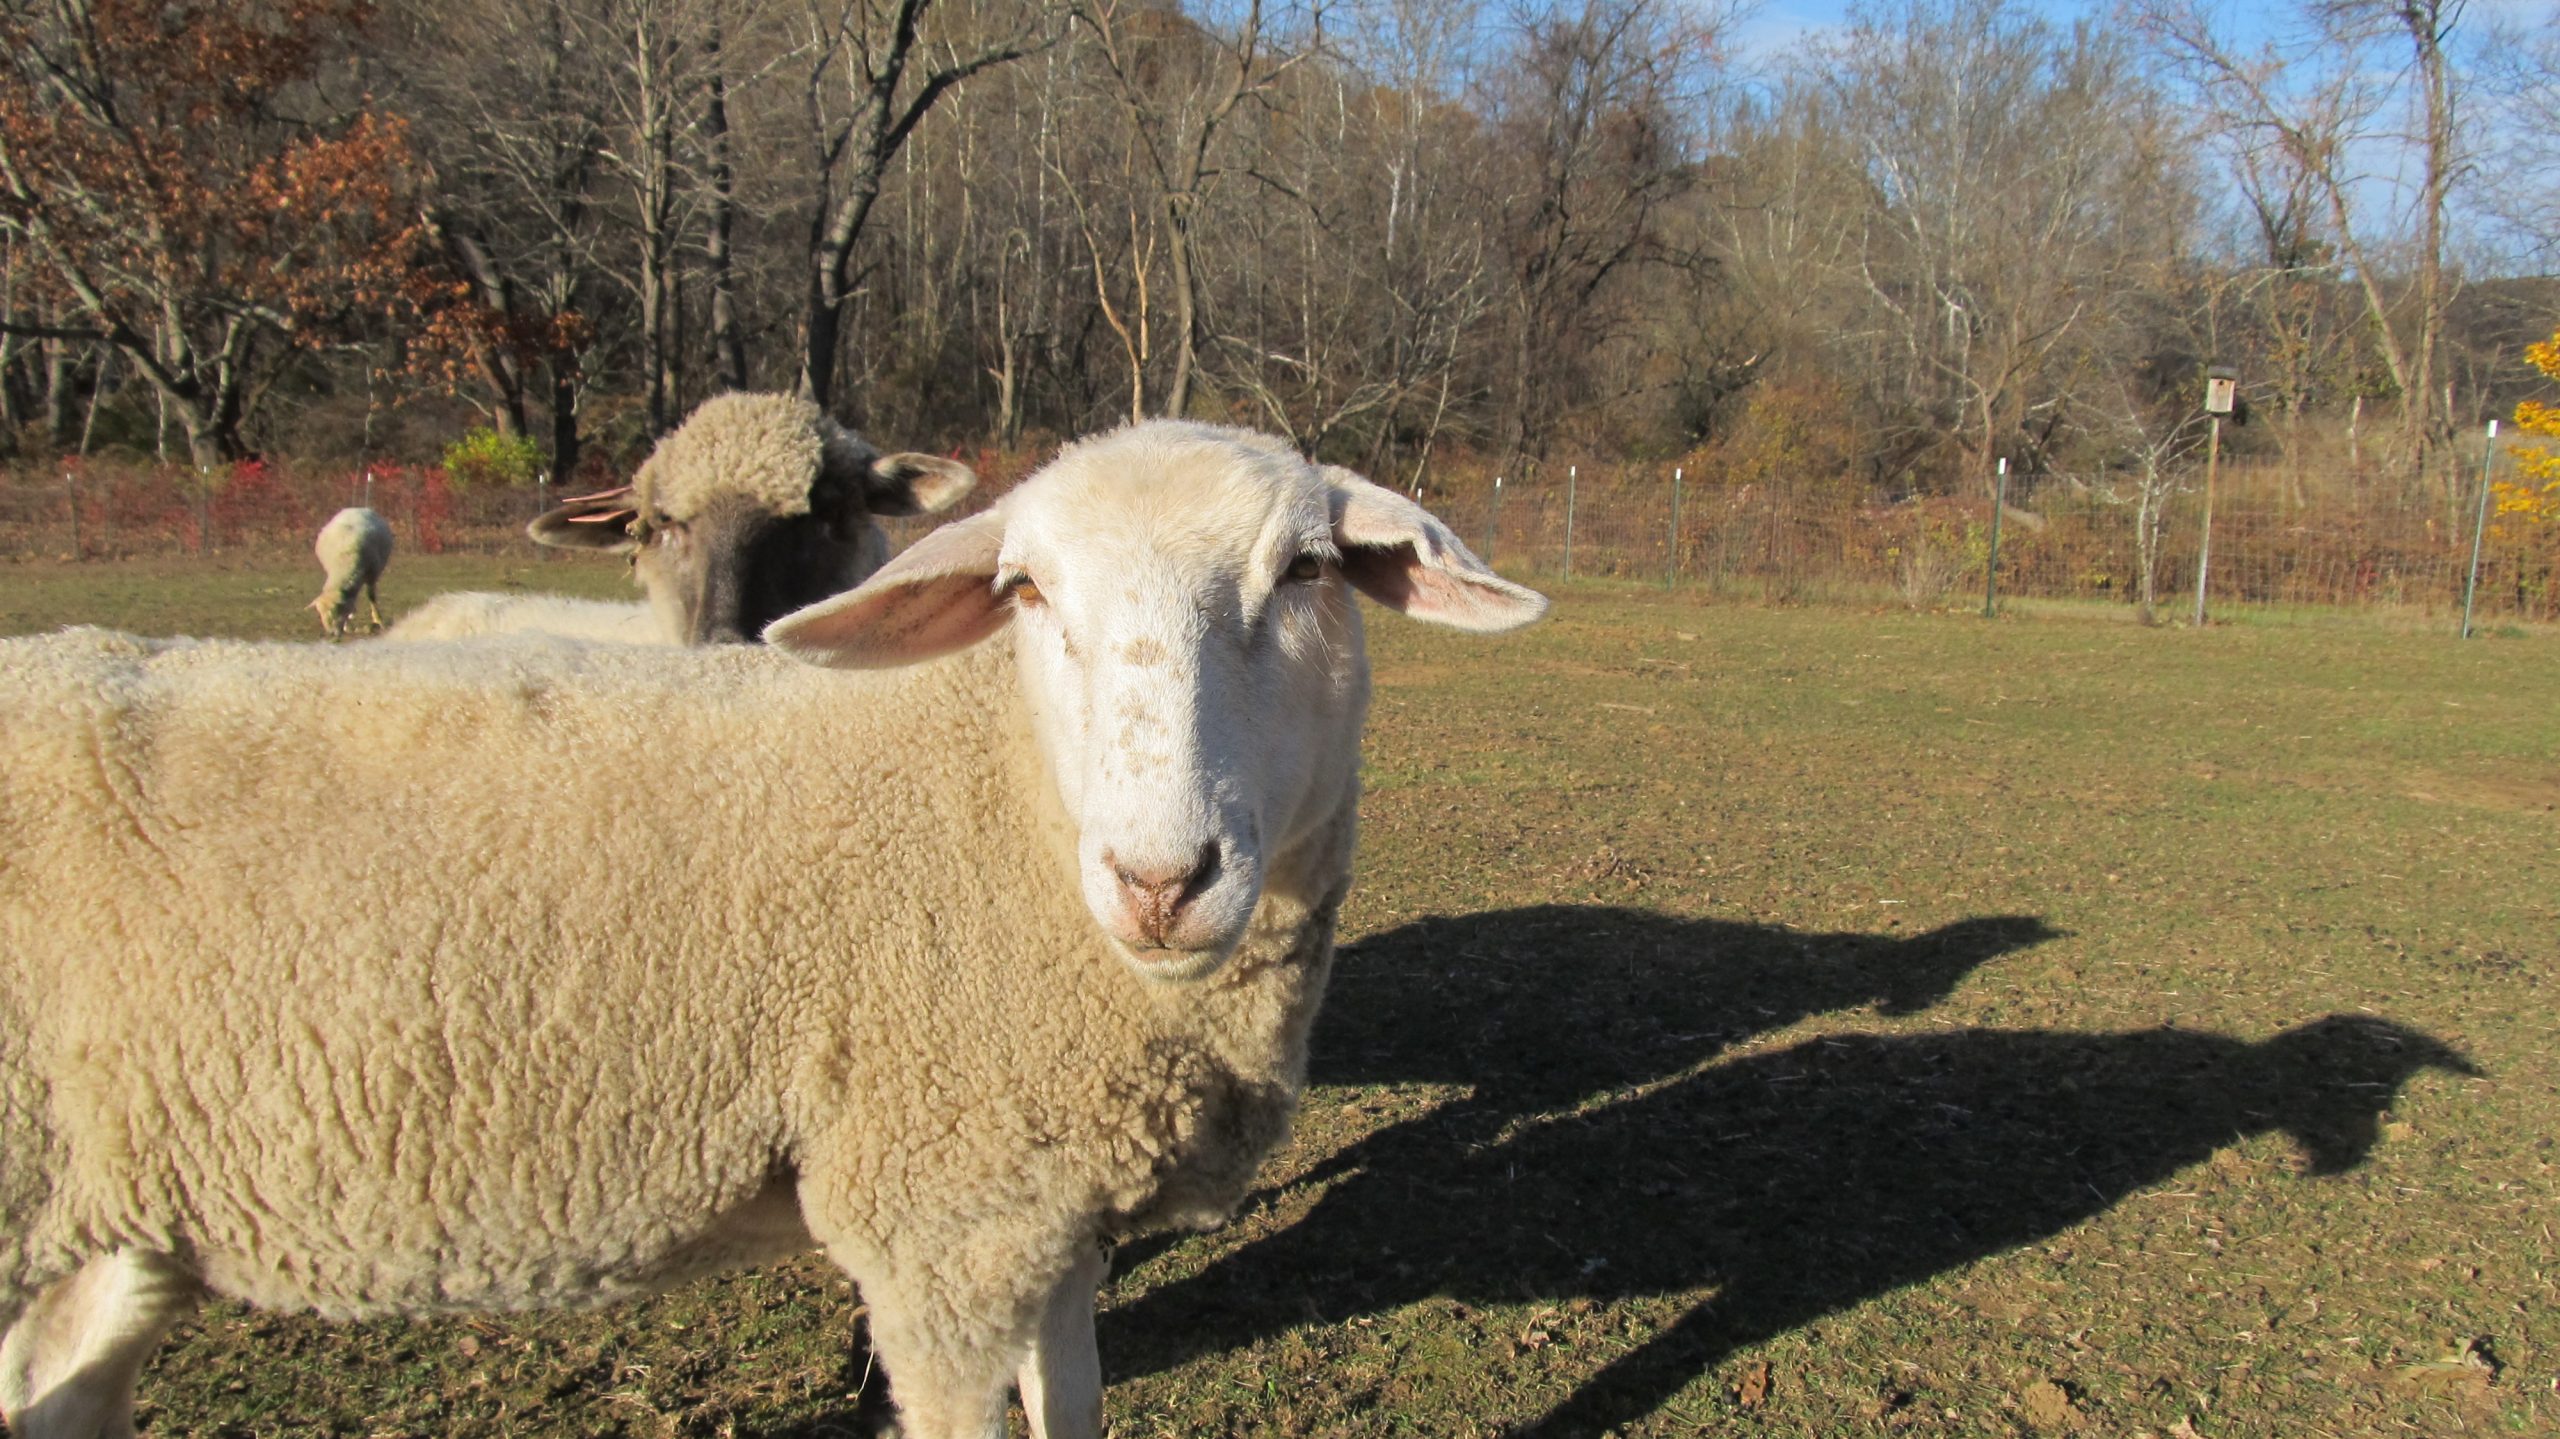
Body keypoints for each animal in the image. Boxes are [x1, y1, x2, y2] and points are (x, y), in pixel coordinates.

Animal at [307, 506, 392, 639]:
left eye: (336, 611)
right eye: (320, 613)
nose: (331, 634)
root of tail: (357, 508)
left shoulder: (372, 574)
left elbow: (371, 597)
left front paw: (379, 620)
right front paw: (348, 625)